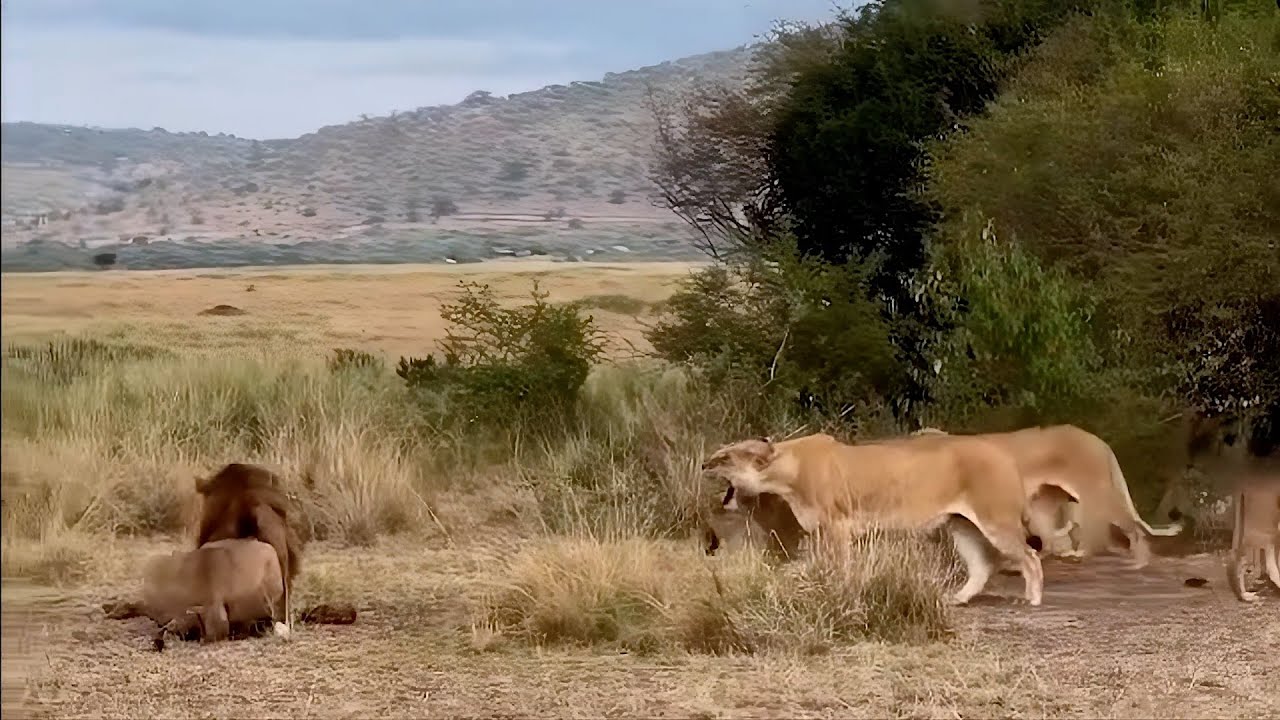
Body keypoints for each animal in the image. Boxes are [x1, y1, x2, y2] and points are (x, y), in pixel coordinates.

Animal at [700, 432, 1045, 606]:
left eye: (724, 457)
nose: (704, 464)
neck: (787, 472)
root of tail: (1004, 454)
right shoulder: (822, 531)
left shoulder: (836, 527)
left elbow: (838, 567)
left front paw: (836, 592)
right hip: (961, 525)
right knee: (981, 564)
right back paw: (958, 598)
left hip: (995, 520)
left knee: (1030, 556)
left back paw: (1033, 598)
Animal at [908, 425, 1185, 568]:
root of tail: (1097, 440)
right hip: (1045, 504)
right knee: (1054, 540)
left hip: (1094, 492)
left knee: (1125, 527)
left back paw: (1138, 561)